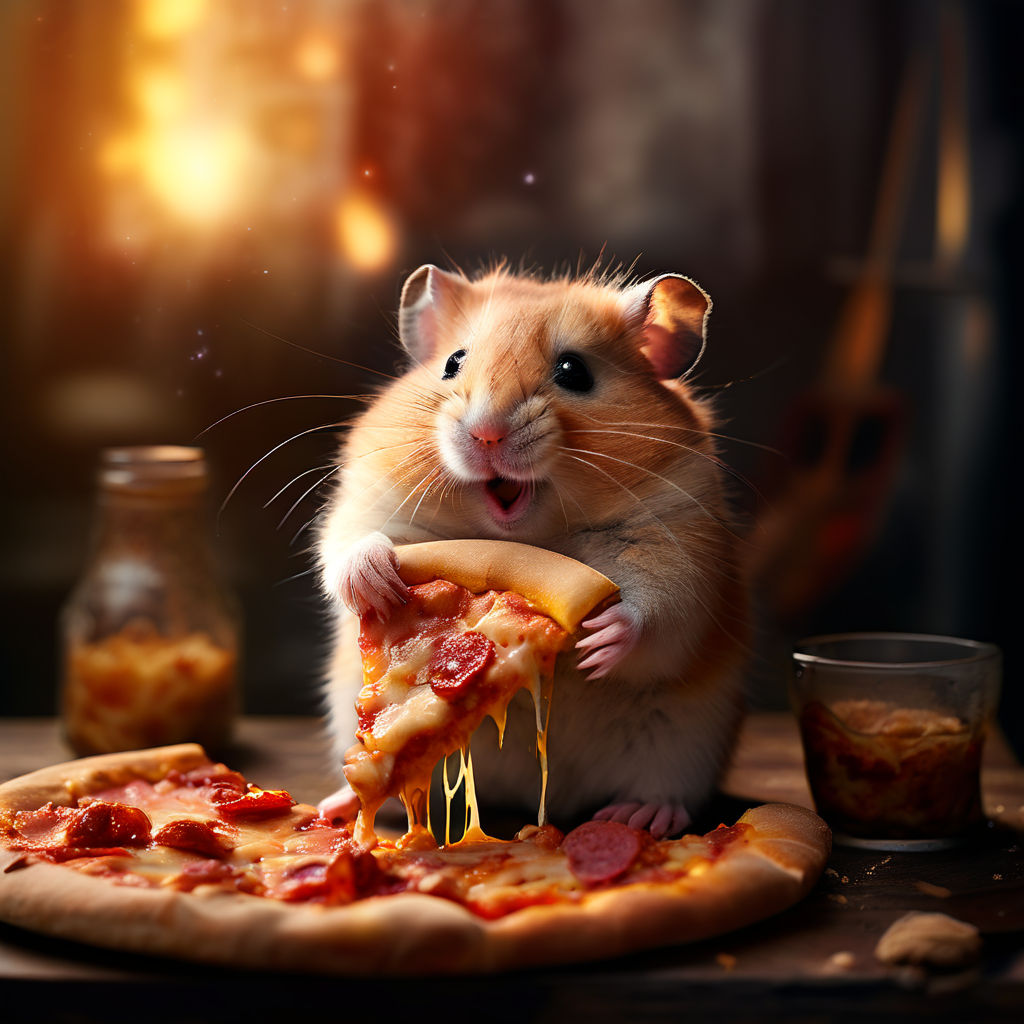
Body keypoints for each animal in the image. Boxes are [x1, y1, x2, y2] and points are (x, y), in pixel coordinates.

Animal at [316, 264, 749, 838]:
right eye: (453, 362)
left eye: (574, 371)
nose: (486, 434)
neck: (523, 536)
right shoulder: (369, 498)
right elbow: (352, 545)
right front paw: (378, 584)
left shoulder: (681, 537)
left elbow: (655, 607)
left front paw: (596, 644)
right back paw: (337, 806)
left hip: (687, 739)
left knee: (665, 789)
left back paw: (640, 816)